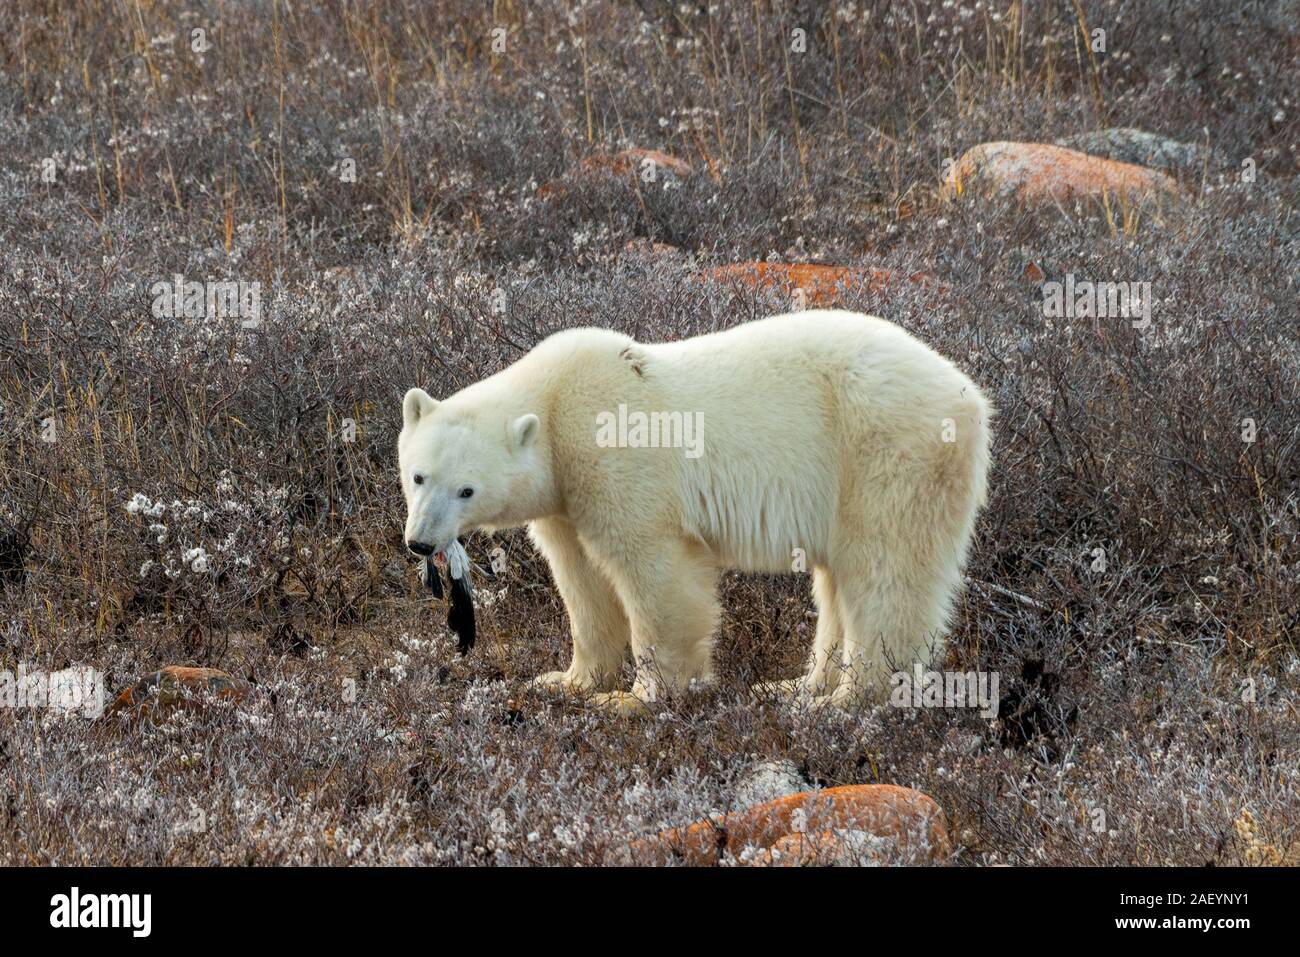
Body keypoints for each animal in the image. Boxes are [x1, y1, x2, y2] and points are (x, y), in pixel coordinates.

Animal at [397, 309, 992, 713]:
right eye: (418, 475)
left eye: (467, 490)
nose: (421, 542)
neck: (556, 401)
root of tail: (971, 397)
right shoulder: (565, 499)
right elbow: (583, 583)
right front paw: (568, 680)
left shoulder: (617, 461)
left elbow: (656, 573)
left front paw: (639, 697)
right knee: (838, 583)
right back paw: (798, 685)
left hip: (883, 453)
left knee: (885, 574)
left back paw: (848, 699)